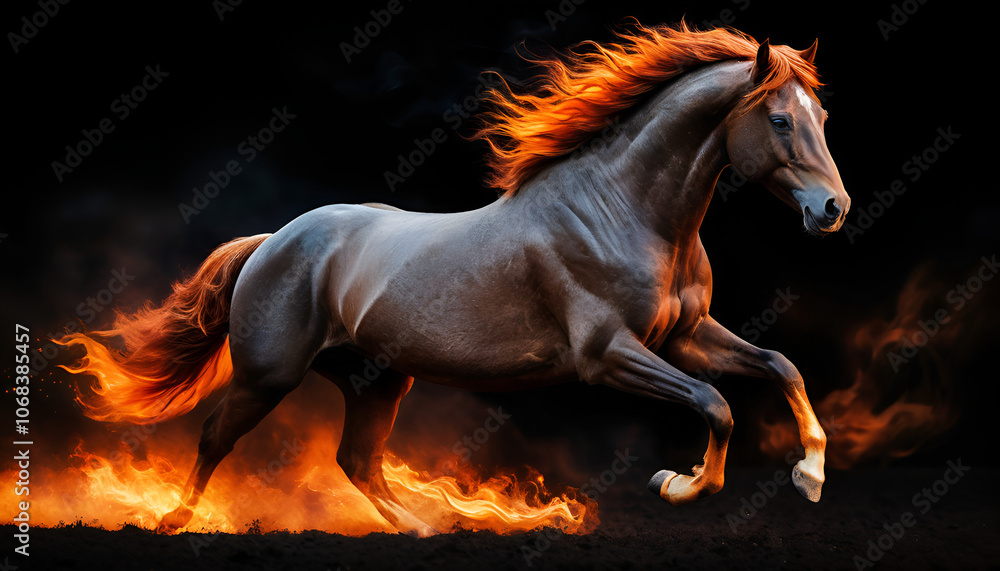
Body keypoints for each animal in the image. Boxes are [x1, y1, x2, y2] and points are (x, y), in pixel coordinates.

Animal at [58, 22, 849, 535]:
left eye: (822, 114)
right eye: (780, 120)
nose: (832, 209)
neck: (624, 211)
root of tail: (272, 242)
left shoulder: (685, 335)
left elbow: (779, 365)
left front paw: (810, 476)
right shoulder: (609, 354)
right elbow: (716, 403)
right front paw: (680, 485)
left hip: (378, 380)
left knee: (357, 461)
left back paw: (426, 529)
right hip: (268, 374)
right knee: (216, 436)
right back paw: (173, 520)